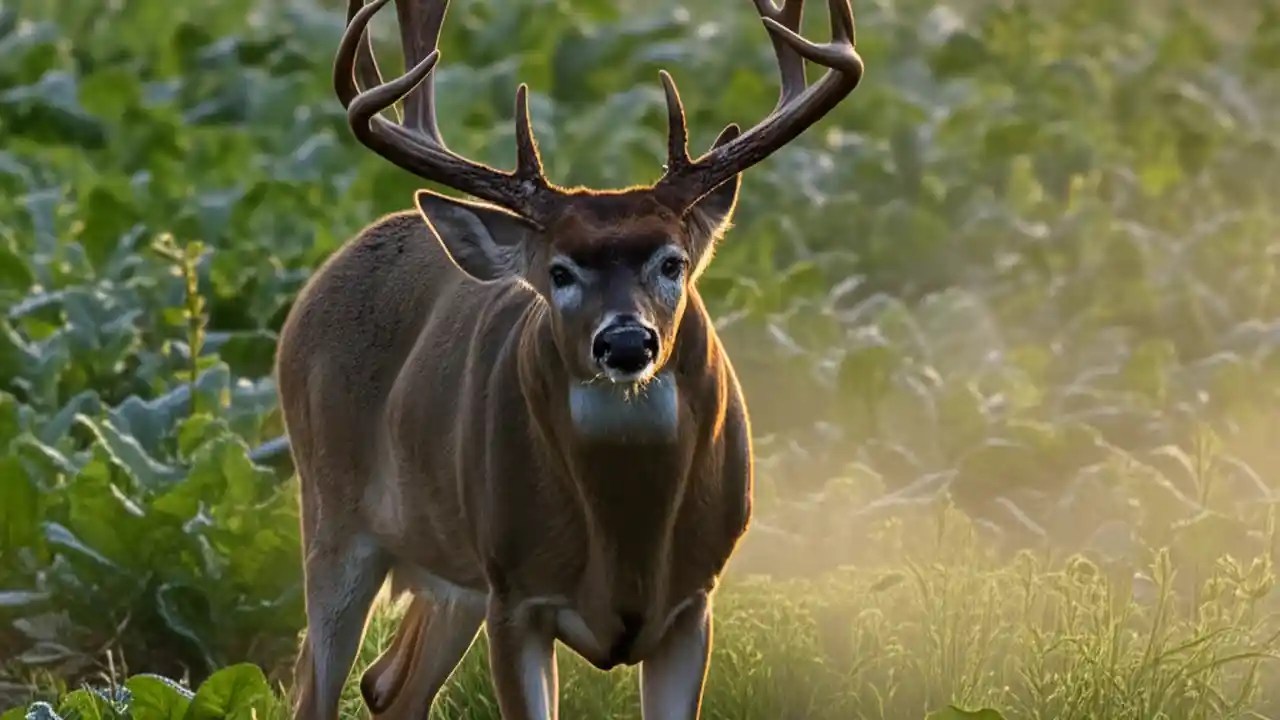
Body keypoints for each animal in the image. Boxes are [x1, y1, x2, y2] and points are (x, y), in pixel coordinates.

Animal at [275, 0, 862, 717]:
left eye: (673, 262)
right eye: (559, 272)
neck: (625, 543)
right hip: (333, 514)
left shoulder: (696, 601)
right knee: (316, 687)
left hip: (451, 575)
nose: (626, 342)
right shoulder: (515, 595)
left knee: (389, 687)